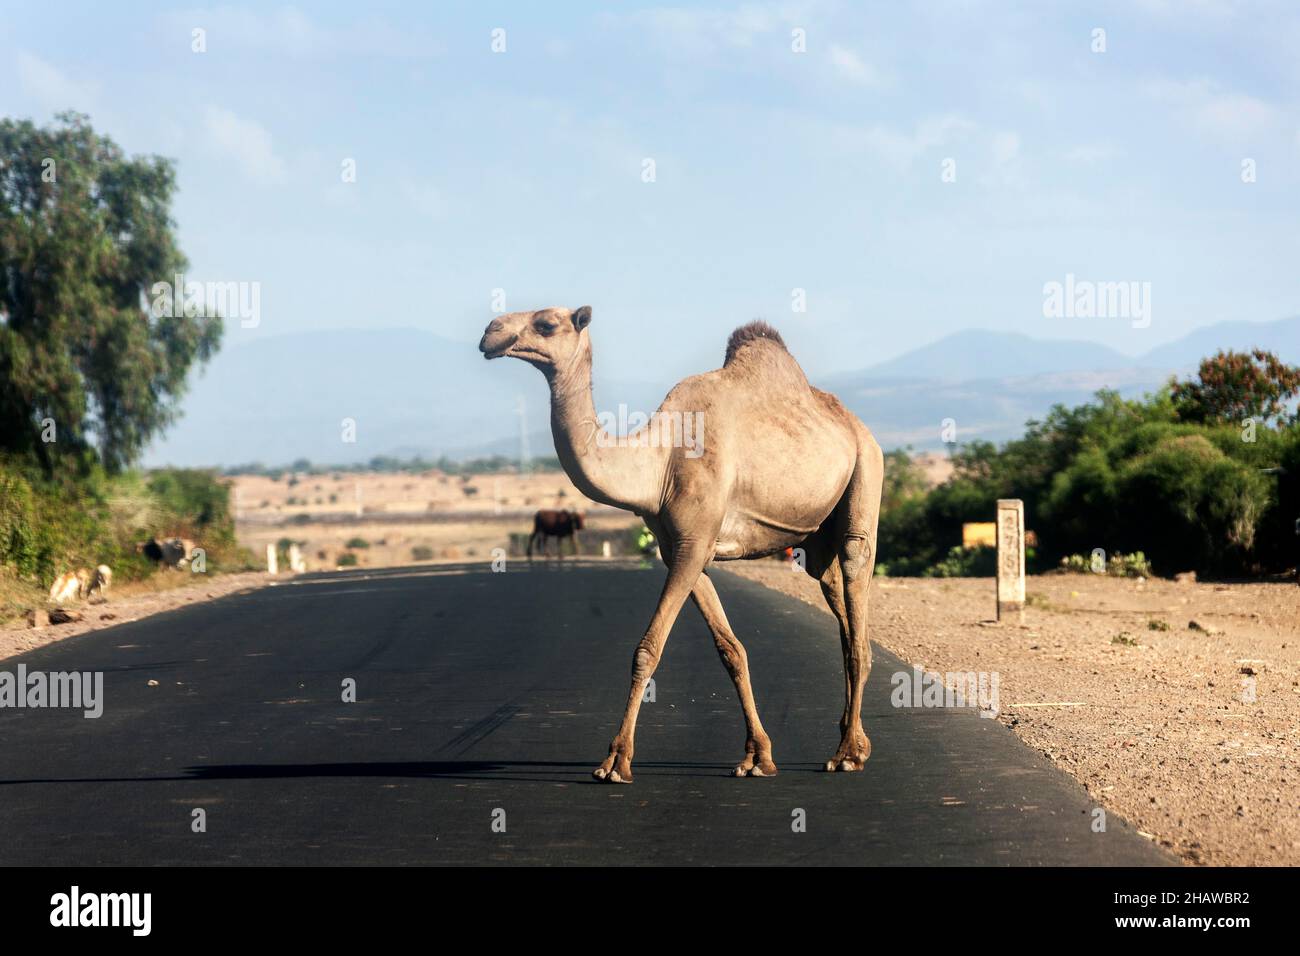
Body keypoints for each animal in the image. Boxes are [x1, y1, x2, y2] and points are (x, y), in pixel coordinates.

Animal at [479, 306, 883, 783]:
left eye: (546, 324)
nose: (490, 332)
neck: (659, 463)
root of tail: (859, 428)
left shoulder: (695, 538)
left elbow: (647, 649)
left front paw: (615, 761)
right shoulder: (684, 548)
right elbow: (731, 650)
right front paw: (758, 756)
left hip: (866, 474)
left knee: (856, 590)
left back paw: (847, 754)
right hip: (817, 536)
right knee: (836, 599)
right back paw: (855, 741)